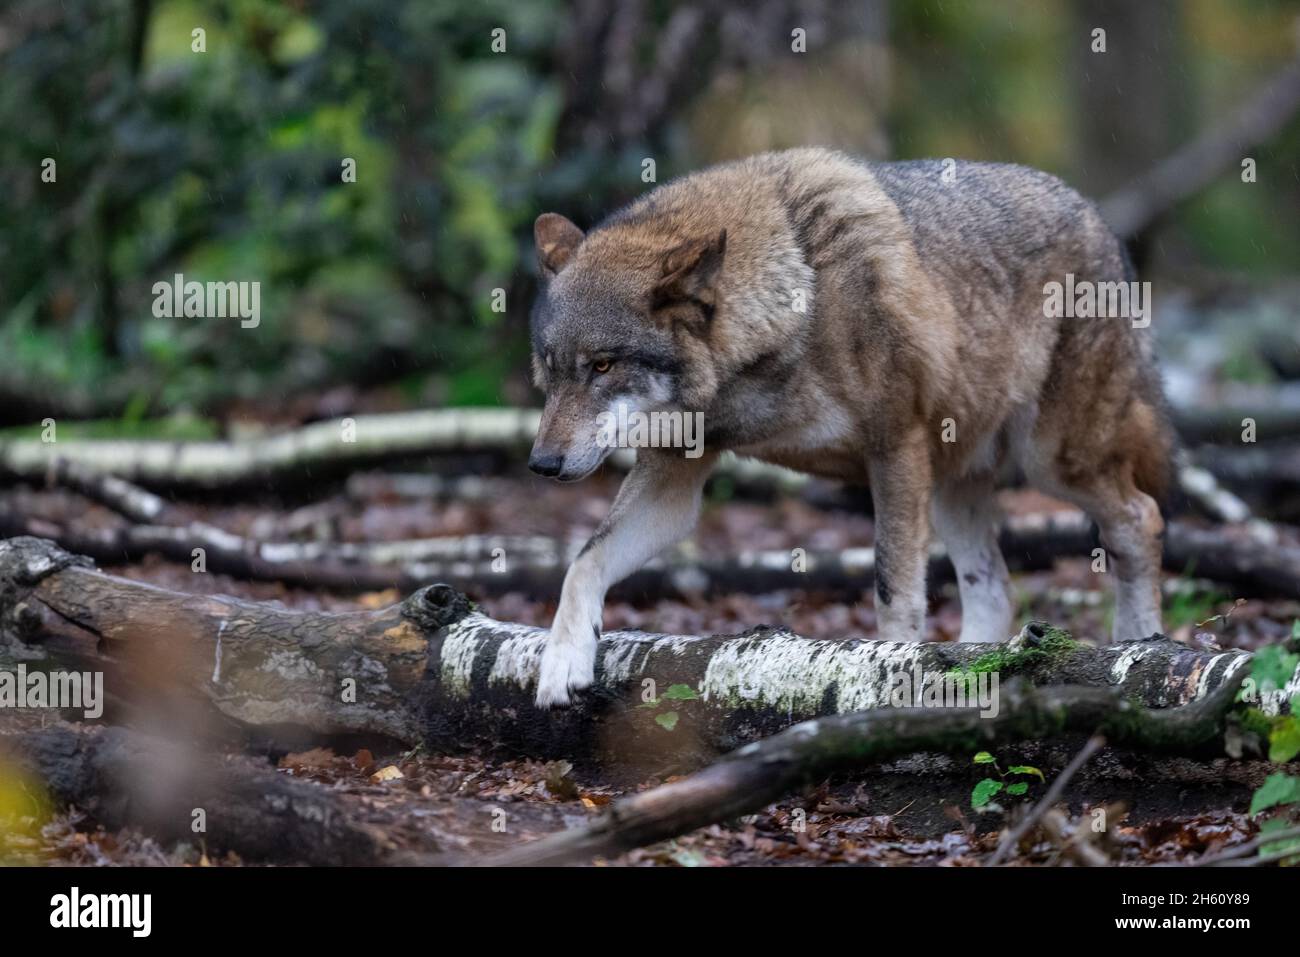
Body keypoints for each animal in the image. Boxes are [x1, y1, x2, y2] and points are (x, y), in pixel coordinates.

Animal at [527, 148, 1172, 707]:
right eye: (550, 371)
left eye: (602, 366)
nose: (541, 464)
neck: (796, 298)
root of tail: (1100, 220)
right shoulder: (673, 482)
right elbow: (582, 562)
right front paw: (563, 662)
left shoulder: (895, 447)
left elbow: (893, 591)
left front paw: (885, 677)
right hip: (954, 487)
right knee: (996, 584)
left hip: (1051, 461)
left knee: (1141, 517)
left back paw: (1137, 645)